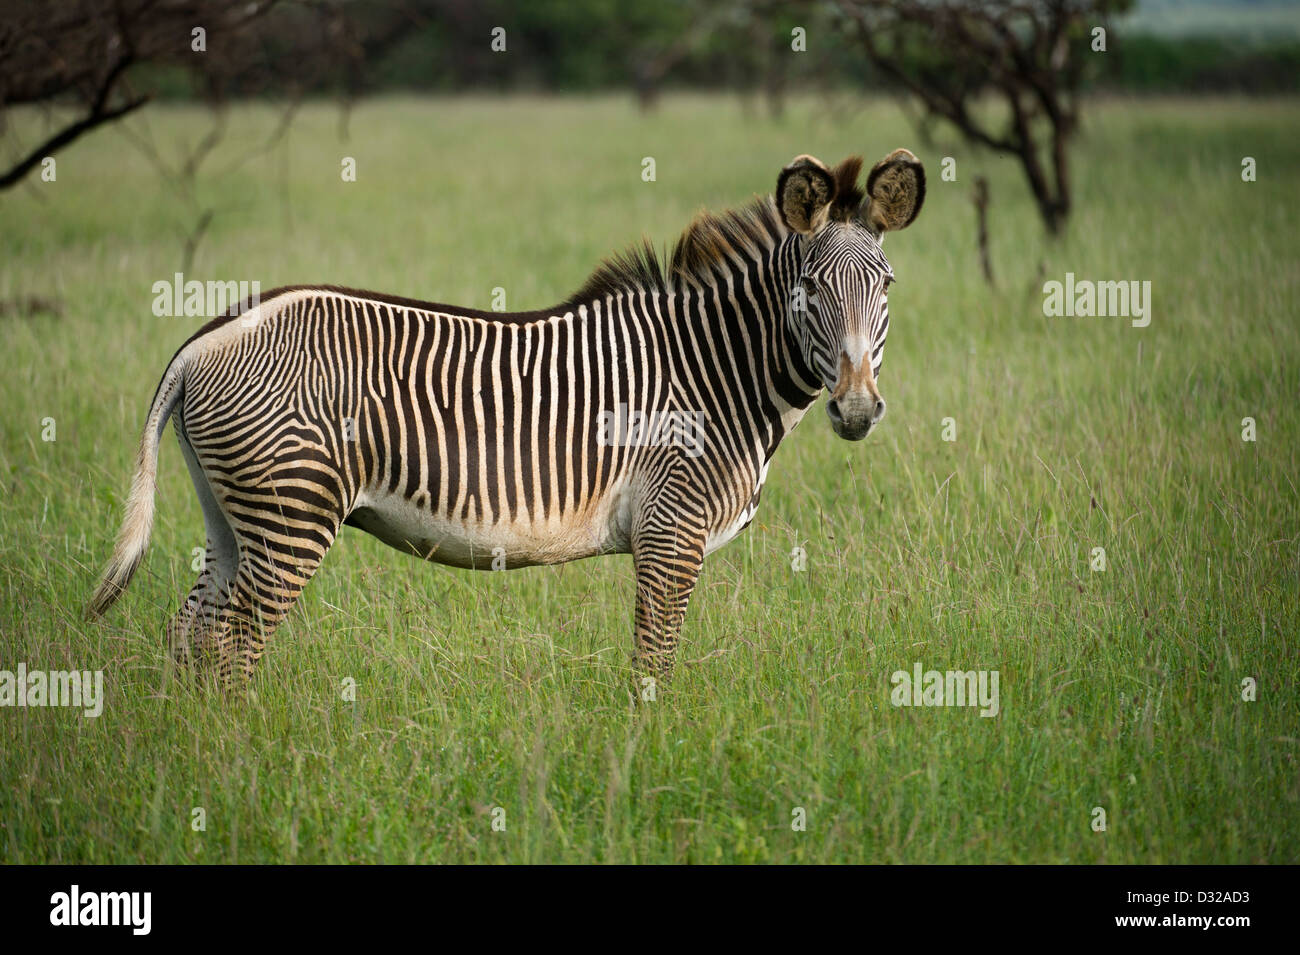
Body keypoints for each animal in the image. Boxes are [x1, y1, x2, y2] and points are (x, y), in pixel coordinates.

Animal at [87, 149, 924, 683]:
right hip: (292, 509)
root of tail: (208, 337)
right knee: (232, 643)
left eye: (886, 284)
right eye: (810, 288)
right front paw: (643, 761)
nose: (857, 407)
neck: (713, 366)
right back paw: (245, 755)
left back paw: (198, 754)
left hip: (234, 513)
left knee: (191, 634)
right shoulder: (671, 533)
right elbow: (652, 667)